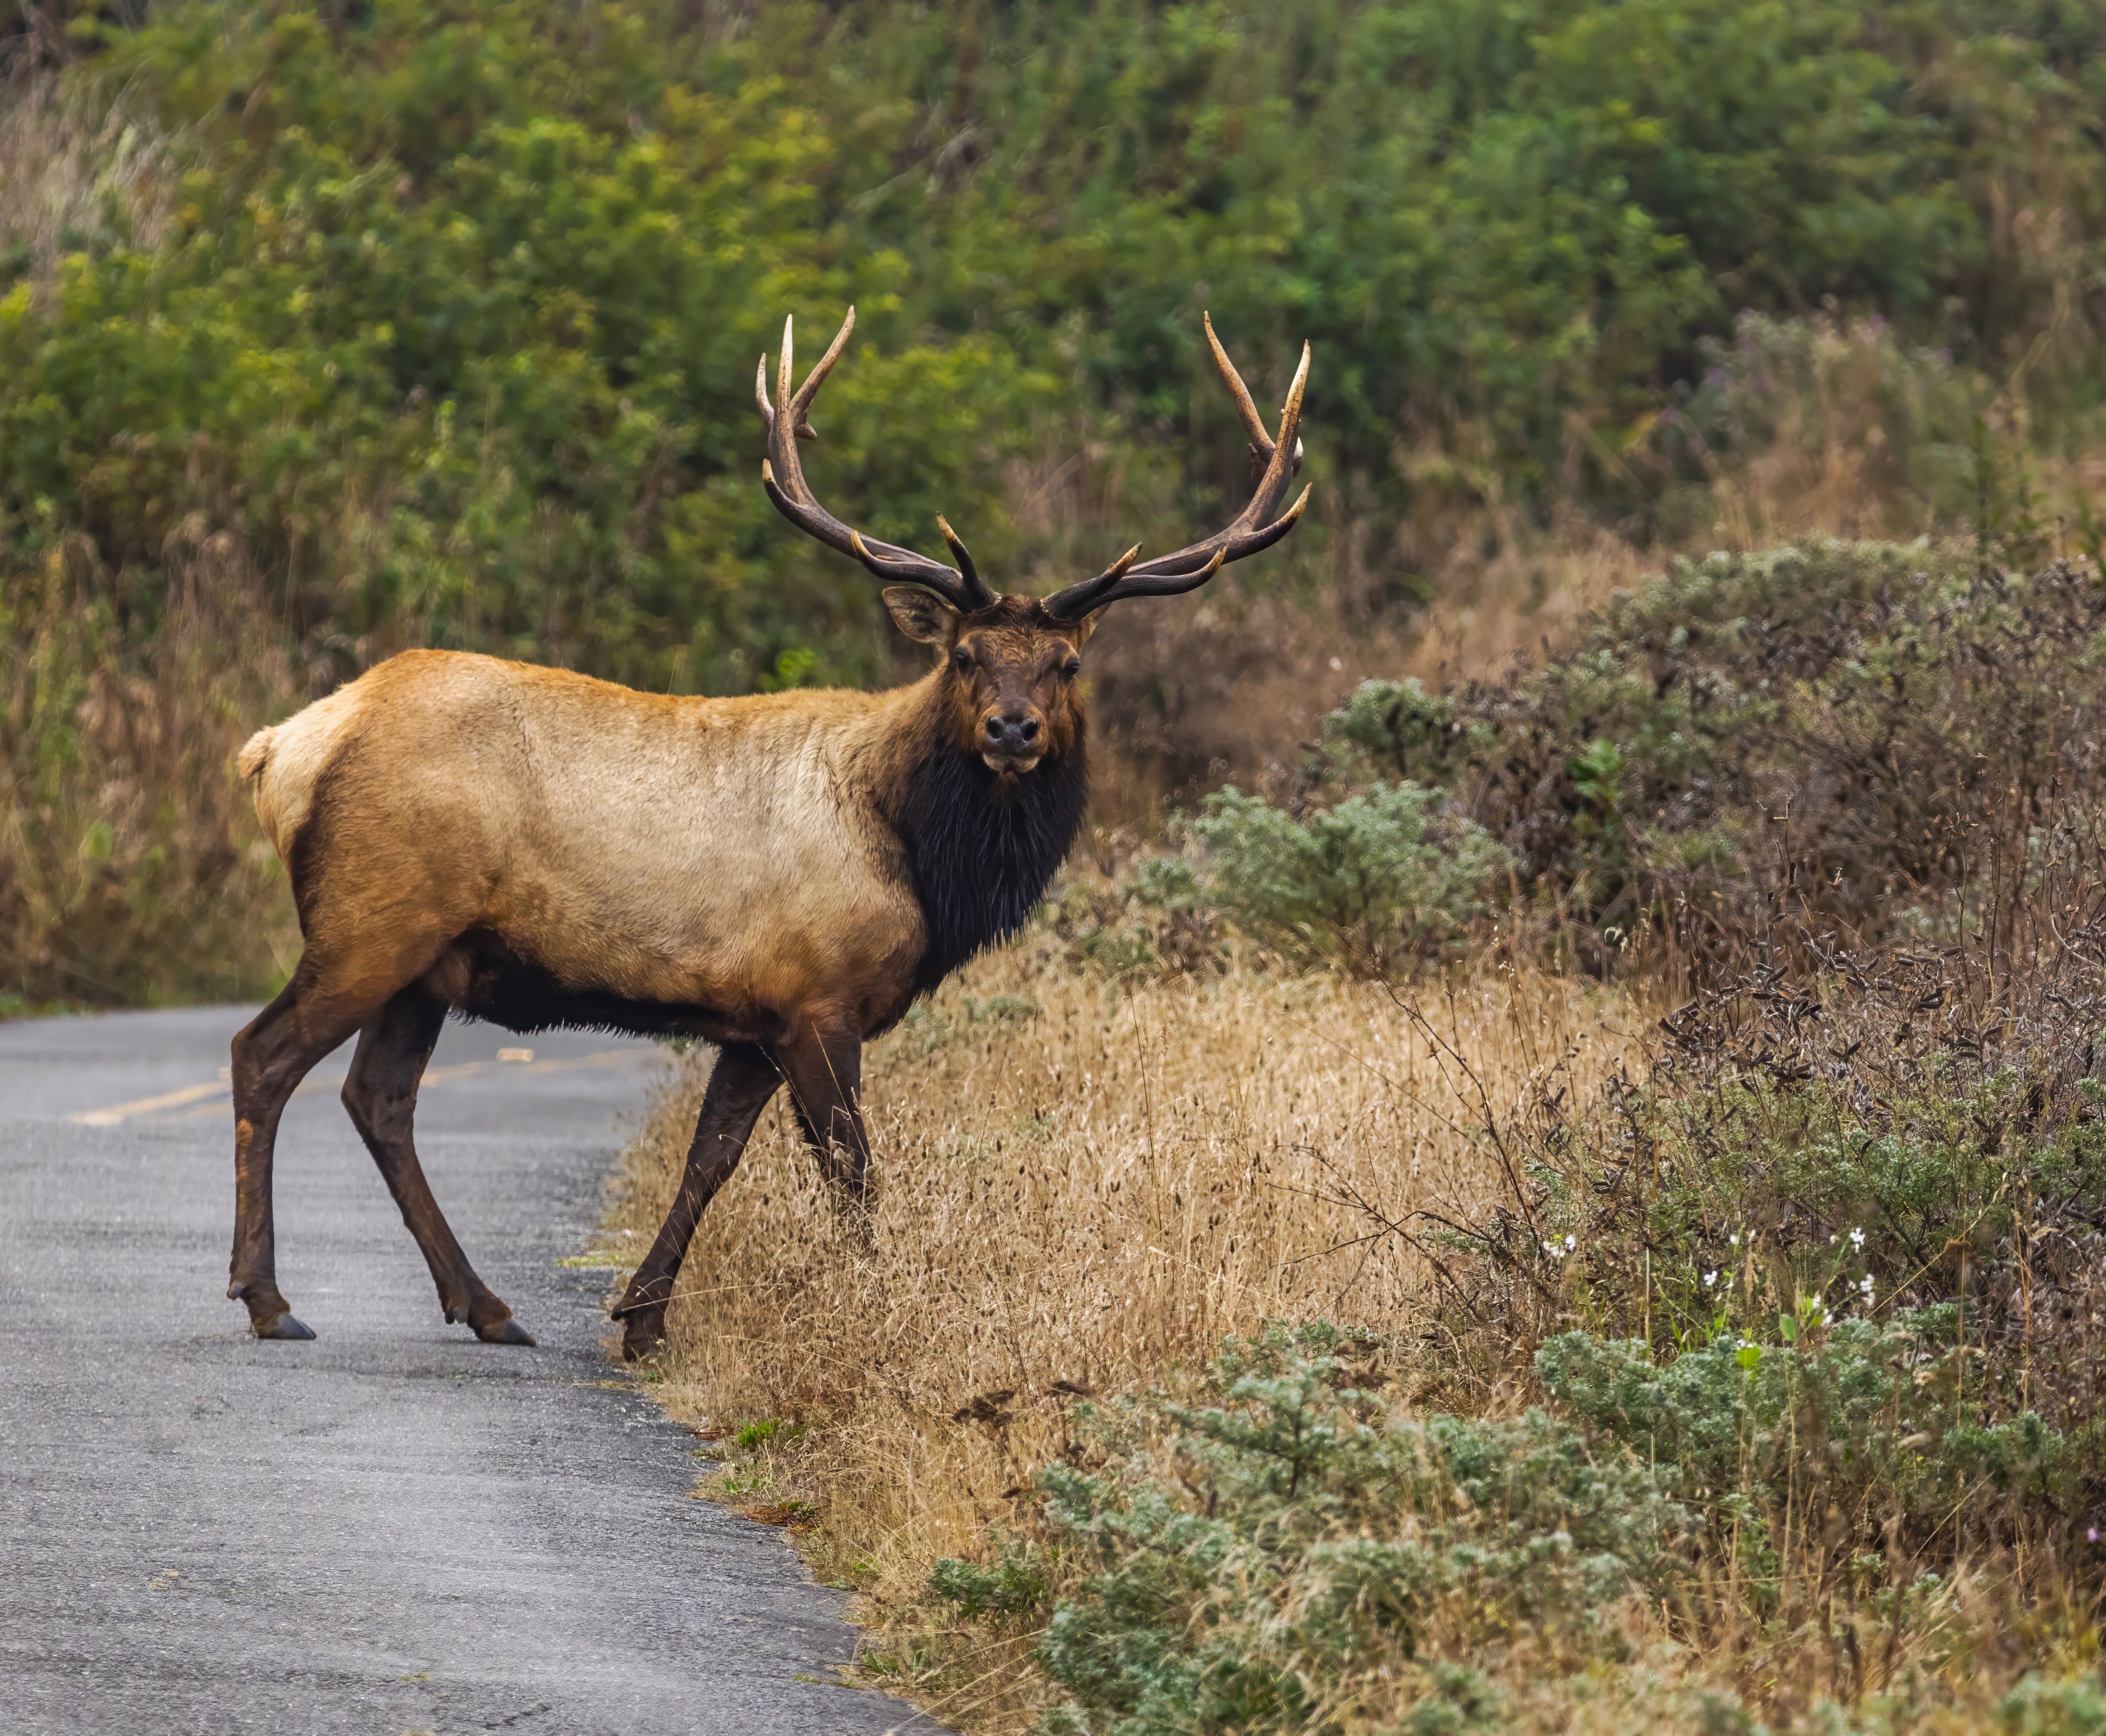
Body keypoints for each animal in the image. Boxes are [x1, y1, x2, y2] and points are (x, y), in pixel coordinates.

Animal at [226, 308, 1310, 1358]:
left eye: (1066, 665)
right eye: (964, 655)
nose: (1013, 729)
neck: (919, 861)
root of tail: (283, 747)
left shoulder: (756, 1016)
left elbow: (711, 1157)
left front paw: (643, 1316)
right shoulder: (820, 996)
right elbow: (851, 1170)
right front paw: (875, 1309)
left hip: (426, 961)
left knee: (378, 1098)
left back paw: (486, 1306)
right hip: (371, 922)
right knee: (263, 1053)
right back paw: (269, 1298)